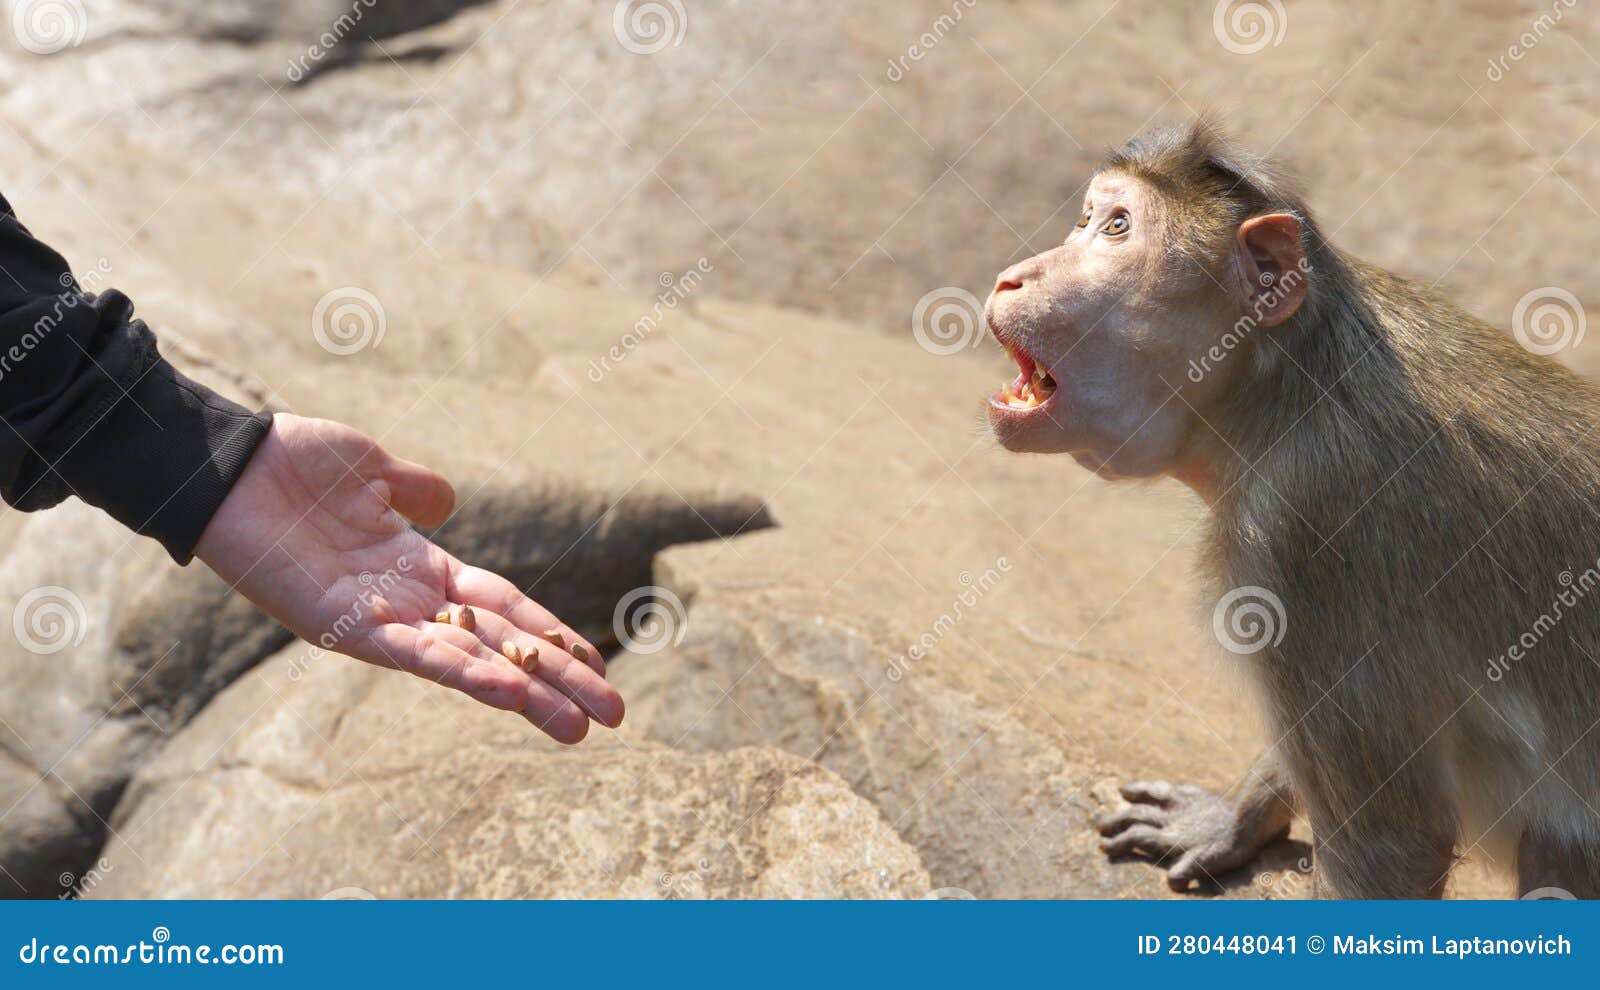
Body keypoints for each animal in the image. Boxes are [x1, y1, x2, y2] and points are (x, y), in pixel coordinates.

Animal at [983, 117, 1600, 899]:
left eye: (1118, 227)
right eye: (1087, 219)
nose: (1011, 277)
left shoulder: (1310, 535)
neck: (1286, 394)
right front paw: (1232, 819)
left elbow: (1389, 848)